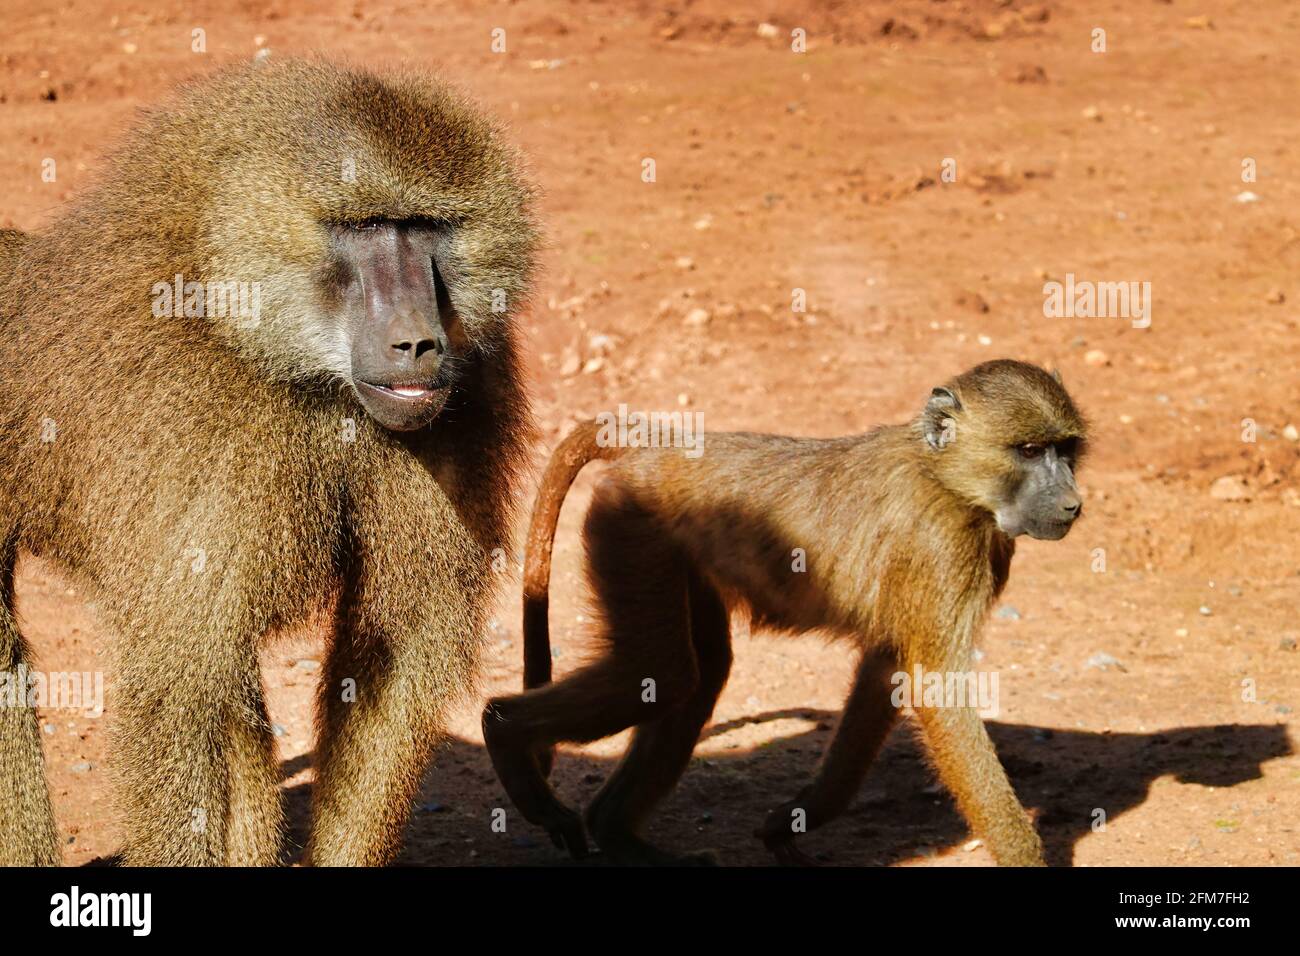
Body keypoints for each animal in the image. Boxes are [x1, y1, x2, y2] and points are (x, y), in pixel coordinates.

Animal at [0, 58, 537, 866]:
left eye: (424, 228)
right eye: (365, 229)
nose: (416, 342)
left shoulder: (460, 408)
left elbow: (395, 652)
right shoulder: (199, 425)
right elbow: (180, 695)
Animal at [483, 359, 1087, 866]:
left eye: (1065, 450)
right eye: (1028, 450)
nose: (1073, 504)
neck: (947, 477)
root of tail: (663, 448)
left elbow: (885, 670)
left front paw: (793, 822)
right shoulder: (942, 547)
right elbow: (937, 687)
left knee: (696, 676)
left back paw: (617, 836)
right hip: (632, 525)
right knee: (662, 673)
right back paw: (505, 733)